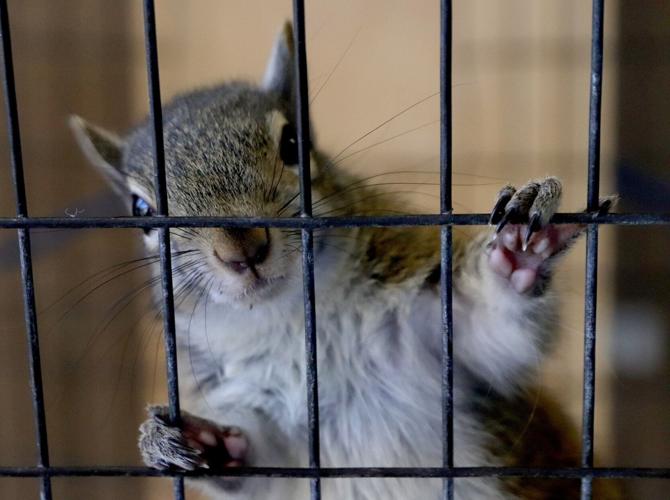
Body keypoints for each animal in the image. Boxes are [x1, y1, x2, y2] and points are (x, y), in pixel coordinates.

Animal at [70, 22, 619, 500]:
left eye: (293, 143)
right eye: (140, 211)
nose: (241, 250)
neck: (296, 318)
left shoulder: (430, 323)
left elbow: (491, 325)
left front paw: (519, 246)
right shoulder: (259, 401)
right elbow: (262, 460)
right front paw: (188, 438)